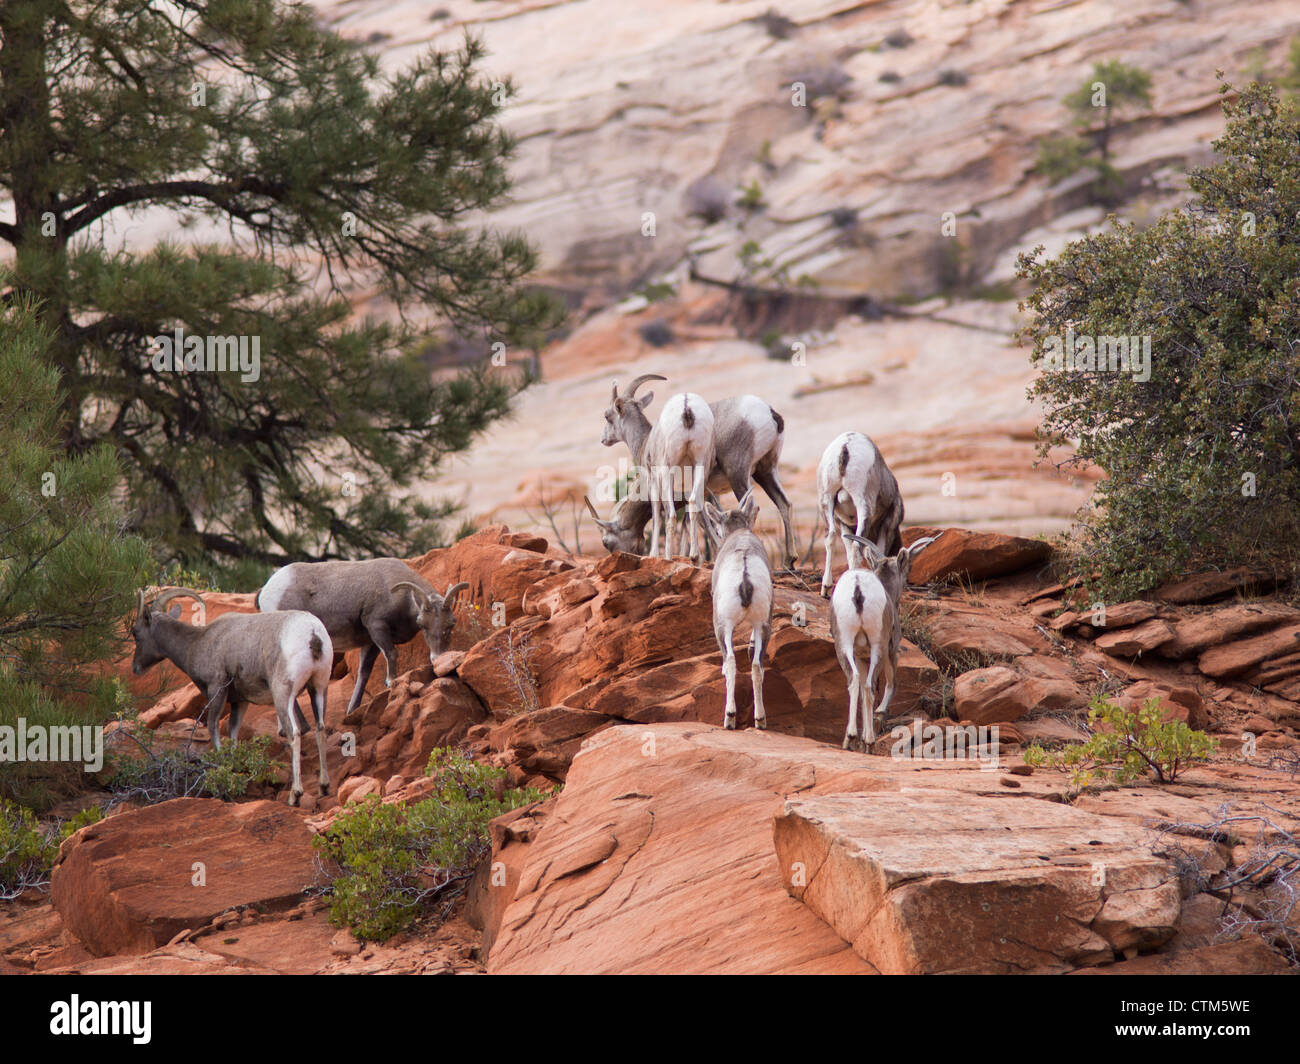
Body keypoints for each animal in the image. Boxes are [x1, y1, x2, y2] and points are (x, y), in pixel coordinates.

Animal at [129, 588, 332, 805]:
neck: (196, 643)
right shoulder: (240, 702)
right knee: (320, 728)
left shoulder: (216, 688)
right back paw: (324, 787)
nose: (136, 668)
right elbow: (233, 734)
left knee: (294, 732)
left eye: (135, 632)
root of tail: (313, 635)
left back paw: (295, 795)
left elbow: (213, 727)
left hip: (283, 694)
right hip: (318, 688)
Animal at [257, 559, 467, 720]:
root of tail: (266, 590)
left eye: (451, 624)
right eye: (422, 624)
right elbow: (392, 654)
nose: (437, 658)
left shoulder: (370, 643)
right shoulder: (377, 627)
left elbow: (363, 673)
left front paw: (351, 710)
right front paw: (391, 682)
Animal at [704, 492, 773, 730]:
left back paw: (729, 718)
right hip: (763, 625)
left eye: (717, 529)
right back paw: (760, 720)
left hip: (723, 627)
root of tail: (744, 573)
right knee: (757, 666)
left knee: (732, 662)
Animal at [817, 431, 905, 597]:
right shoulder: (887, 525)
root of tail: (845, 447)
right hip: (863, 507)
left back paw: (826, 588)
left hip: (826, 502)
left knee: (831, 538)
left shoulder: (843, 524)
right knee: (856, 550)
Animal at [829, 534, 939, 751]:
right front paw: (876, 720)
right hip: (877, 648)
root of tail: (858, 587)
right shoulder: (891, 649)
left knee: (855, 681)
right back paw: (868, 741)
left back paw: (849, 738)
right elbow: (890, 684)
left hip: (844, 645)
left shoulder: (860, 657)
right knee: (870, 686)